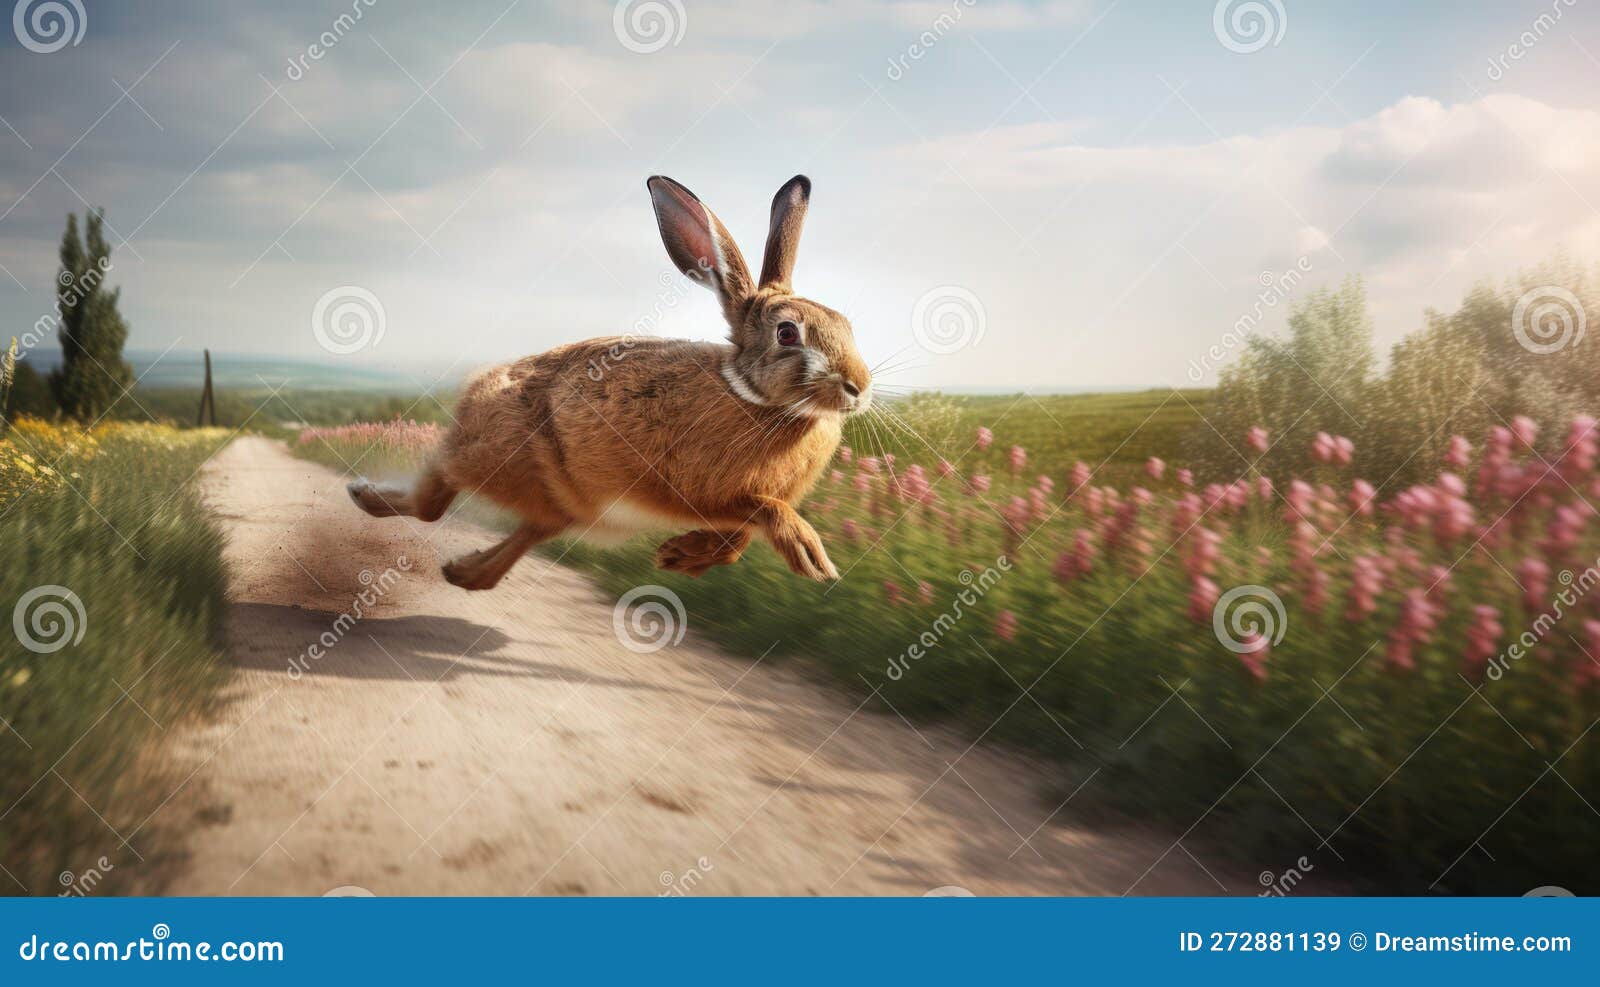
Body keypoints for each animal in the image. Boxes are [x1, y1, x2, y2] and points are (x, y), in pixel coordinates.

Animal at [348, 174, 872, 591]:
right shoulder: (699, 490)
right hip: (502, 455)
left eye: (848, 325)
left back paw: (466, 572)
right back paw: (365, 496)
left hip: (565, 506)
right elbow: (763, 509)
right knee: (435, 496)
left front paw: (680, 557)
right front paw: (810, 555)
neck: (752, 395)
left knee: (523, 531)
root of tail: (480, 389)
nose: (859, 386)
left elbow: (742, 534)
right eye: (787, 333)